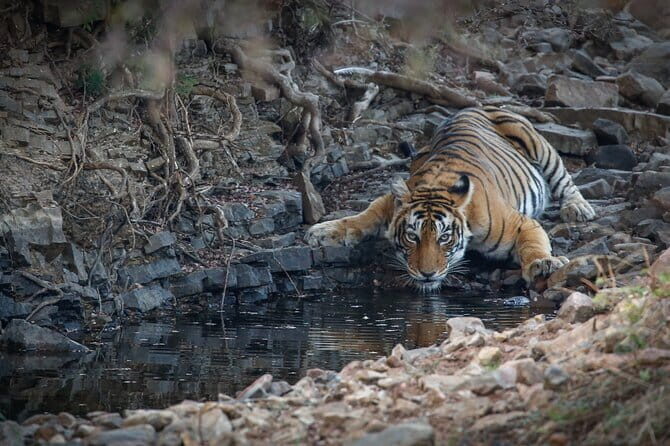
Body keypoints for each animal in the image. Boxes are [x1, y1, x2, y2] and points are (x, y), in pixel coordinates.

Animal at [305, 106, 596, 291]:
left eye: (444, 238)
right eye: (412, 236)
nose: (427, 274)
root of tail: (474, 106)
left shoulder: (521, 223)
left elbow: (532, 245)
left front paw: (543, 264)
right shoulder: (390, 201)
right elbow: (363, 216)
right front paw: (323, 231)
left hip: (536, 142)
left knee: (564, 179)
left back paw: (578, 208)